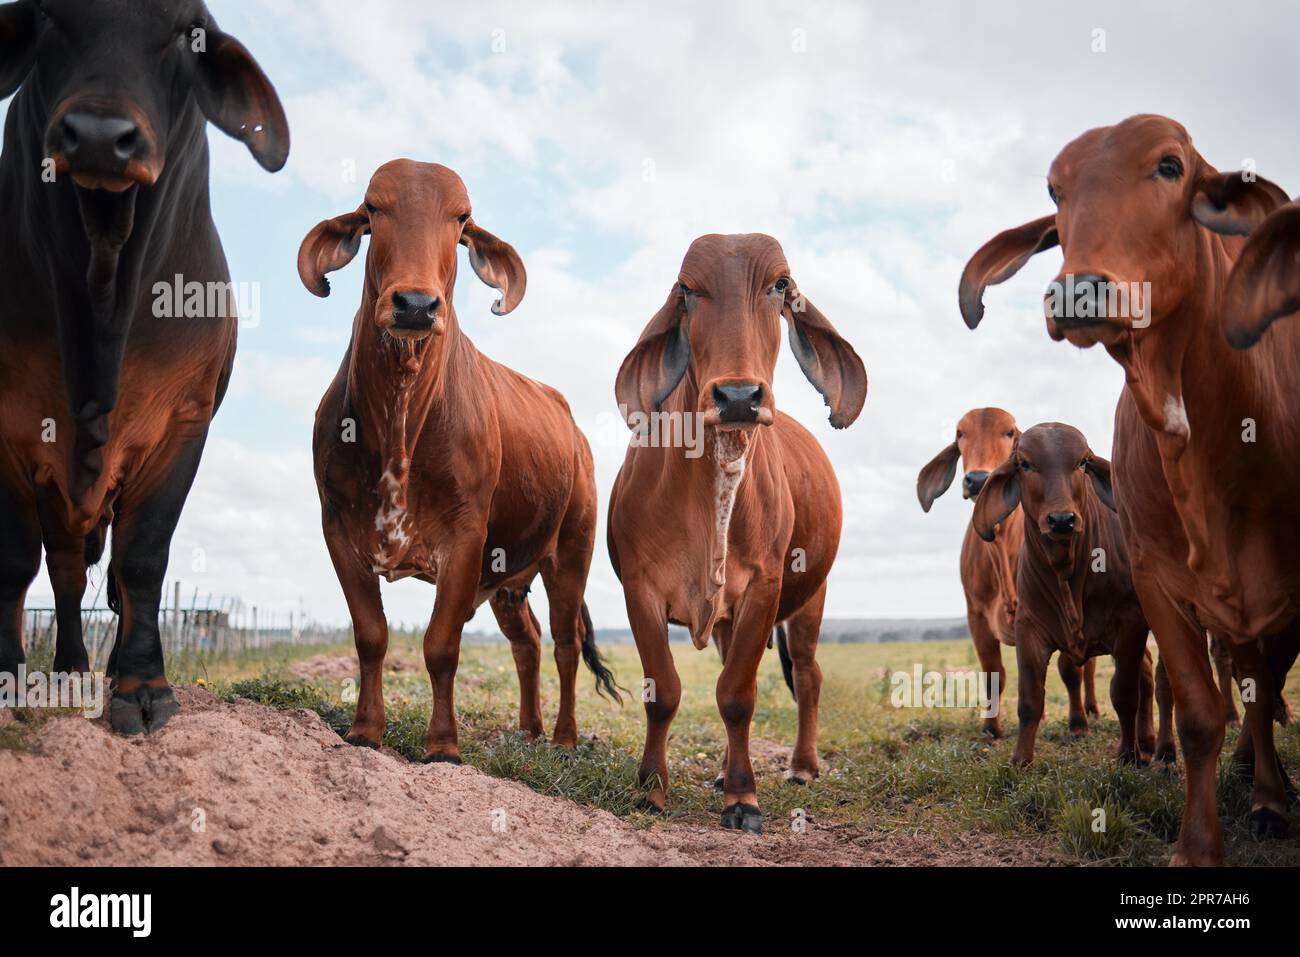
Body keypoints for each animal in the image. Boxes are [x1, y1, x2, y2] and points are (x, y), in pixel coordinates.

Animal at [0, 0, 288, 732]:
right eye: (47, 18)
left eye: (188, 34)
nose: (100, 137)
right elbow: (13, 562)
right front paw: (6, 677)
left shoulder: (182, 424)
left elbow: (144, 557)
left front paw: (140, 685)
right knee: (63, 575)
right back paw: (67, 668)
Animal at [299, 160, 619, 762]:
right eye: (373, 207)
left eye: (461, 218)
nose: (415, 305)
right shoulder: (338, 529)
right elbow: (371, 636)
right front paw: (365, 731)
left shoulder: (465, 537)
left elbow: (441, 646)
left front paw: (444, 745)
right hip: (509, 578)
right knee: (528, 641)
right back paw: (528, 730)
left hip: (571, 552)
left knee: (566, 643)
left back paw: (563, 738)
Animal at [607, 233, 867, 833]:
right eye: (687, 289)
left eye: (780, 286)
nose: (739, 397)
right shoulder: (640, 589)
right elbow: (663, 691)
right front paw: (651, 788)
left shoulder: (764, 590)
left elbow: (738, 695)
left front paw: (744, 798)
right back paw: (725, 771)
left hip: (810, 598)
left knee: (809, 677)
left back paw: (801, 766)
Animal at [918, 407, 1102, 737]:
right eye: (960, 434)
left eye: (1009, 433)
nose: (978, 479)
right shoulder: (977, 616)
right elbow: (996, 674)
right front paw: (991, 727)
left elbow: (1070, 671)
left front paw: (1077, 723)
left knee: (1090, 666)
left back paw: (1092, 708)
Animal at [970, 423, 1155, 765]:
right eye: (1025, 464)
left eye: (1083, 462)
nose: (1061, 520)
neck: (1066, 572)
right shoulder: (1029, 630)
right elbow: (1030, 700)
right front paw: (1020, 760)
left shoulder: (1131, 625)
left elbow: (1123, 694)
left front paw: (1127, 755)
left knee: (1150, 678)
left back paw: (1154, 746)